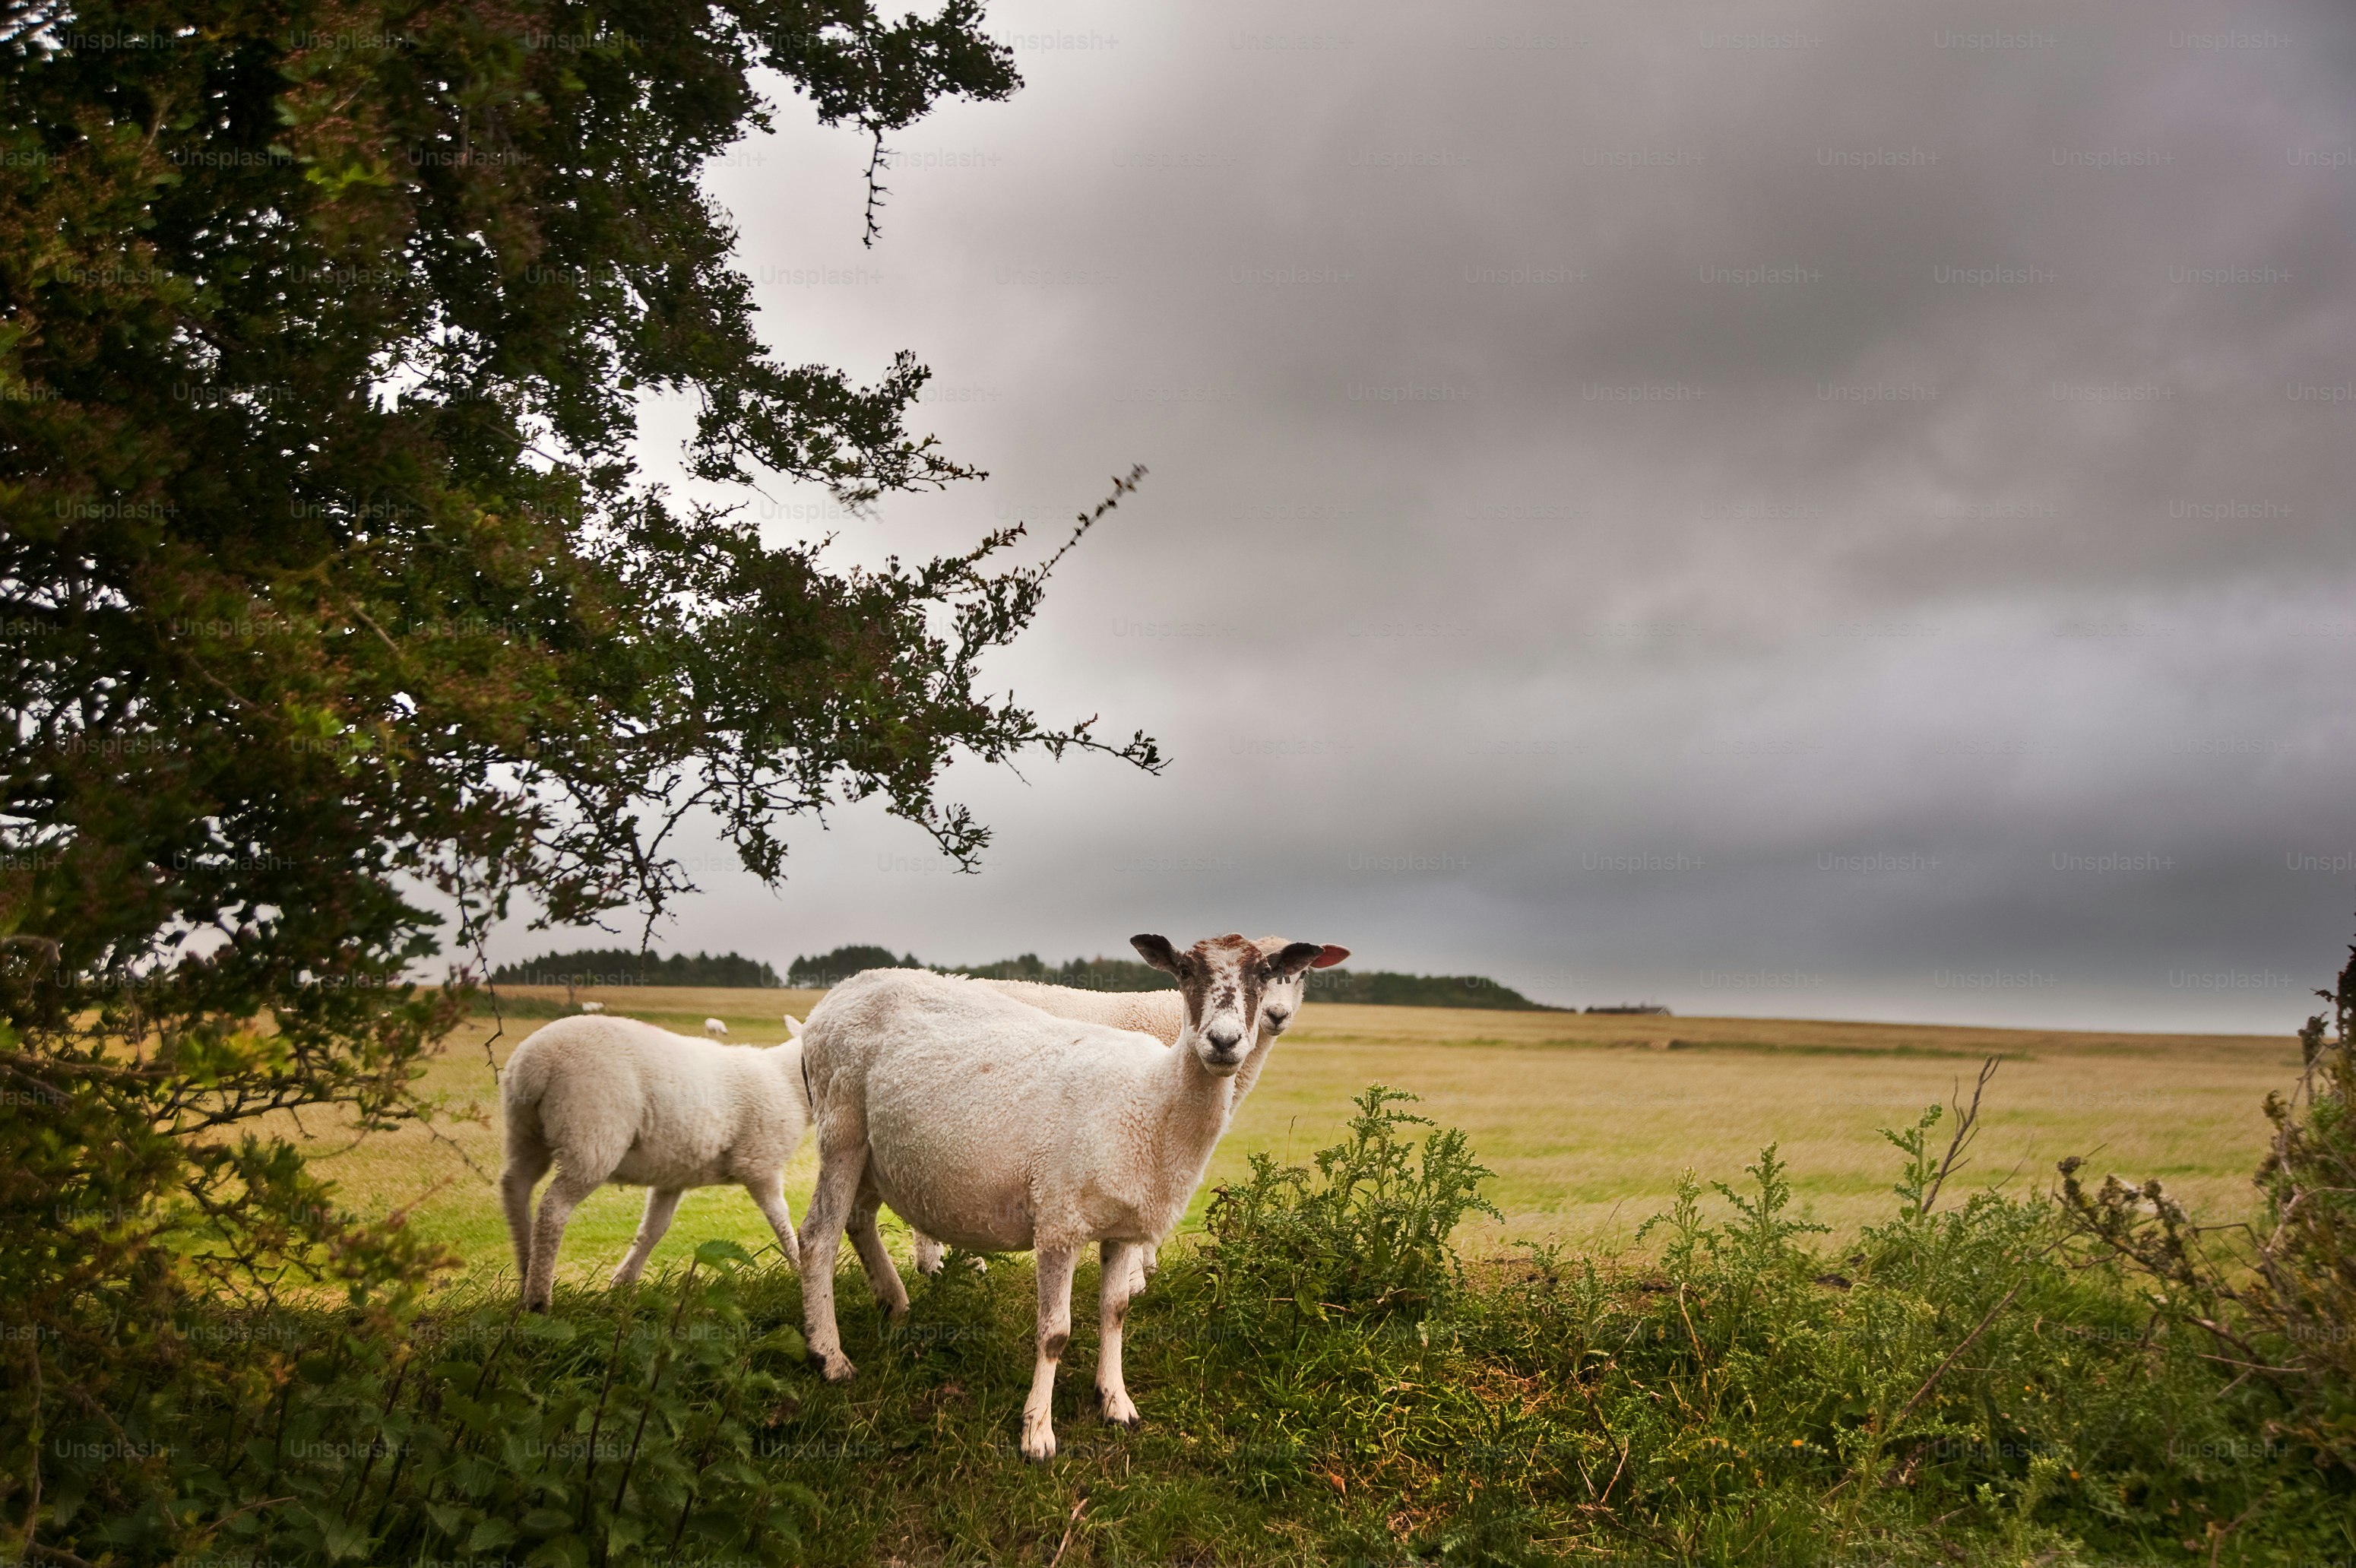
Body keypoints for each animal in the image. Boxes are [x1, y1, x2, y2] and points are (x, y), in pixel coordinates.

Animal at [499, 1014, 810, 1310]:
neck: (789, 1083)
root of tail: (536, 1060)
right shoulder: (760, 1162)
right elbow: (781, 1218)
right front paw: (799, 1268)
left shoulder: (673, 1176)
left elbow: (653, 1229)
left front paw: (623, 1283)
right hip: (591, 1131)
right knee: (553, 1209)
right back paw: (538, 1298)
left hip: (526, 1127)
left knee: (515, 1185)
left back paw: (526, 1270)